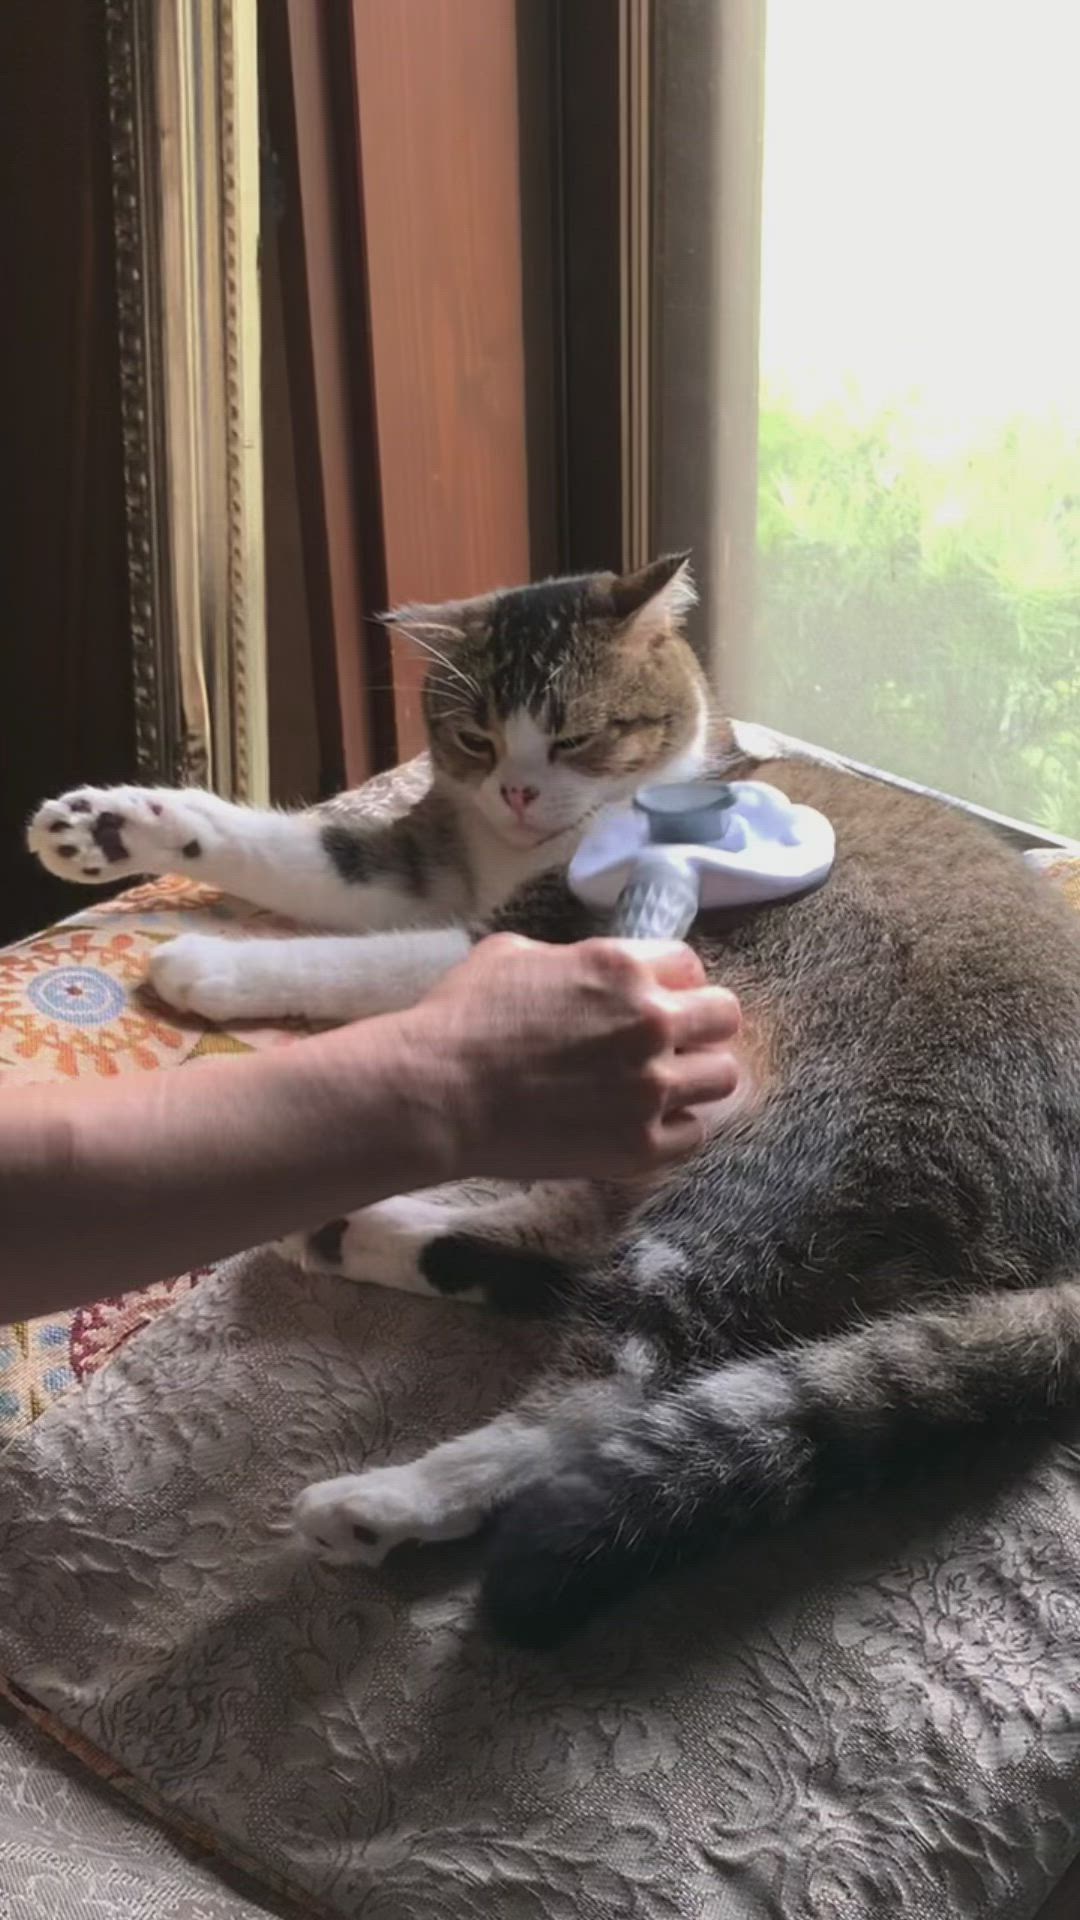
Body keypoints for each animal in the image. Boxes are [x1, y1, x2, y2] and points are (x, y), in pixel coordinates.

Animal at [27, 560, 1080, 1651]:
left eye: (575, 735)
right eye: (476, 738)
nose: (520, 793)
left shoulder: (522, 943)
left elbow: (363, 963)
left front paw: (208, 964)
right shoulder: (423, 860)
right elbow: (292, 847)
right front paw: (110, 827)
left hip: (791, 1167)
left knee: (617, 1387)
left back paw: (385, 1501)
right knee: (566, 1265)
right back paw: (340, 1233)